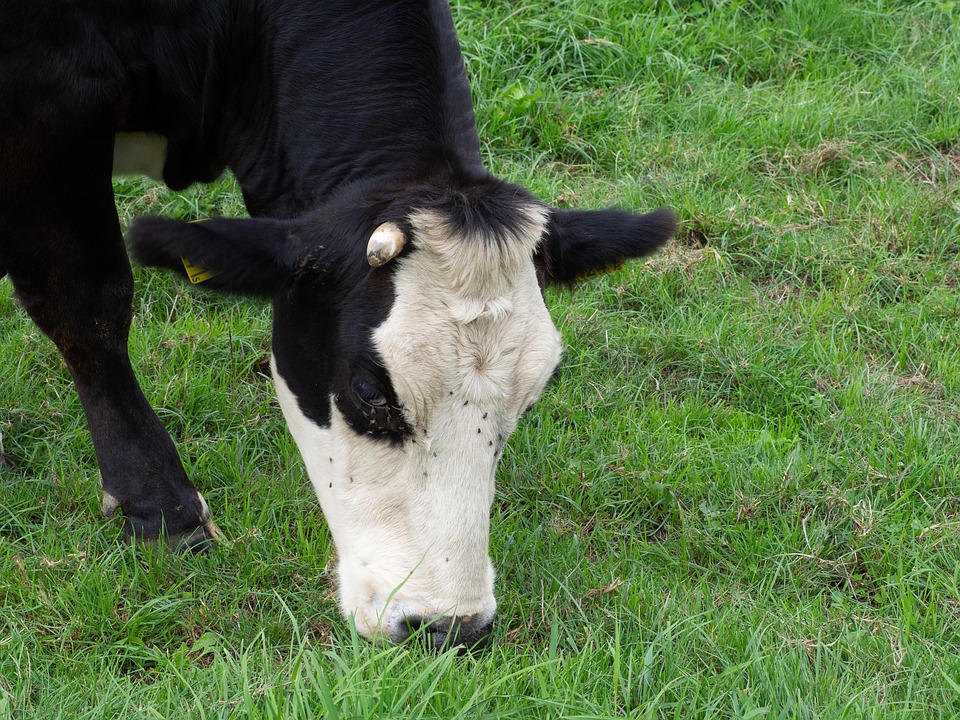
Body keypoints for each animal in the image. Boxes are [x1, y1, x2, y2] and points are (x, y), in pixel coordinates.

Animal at [0, 0, 676, 650]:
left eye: (533, 397)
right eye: (369, 392)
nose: (449, 627)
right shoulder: (47, 102)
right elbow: (88, 303)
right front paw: (160, 509)